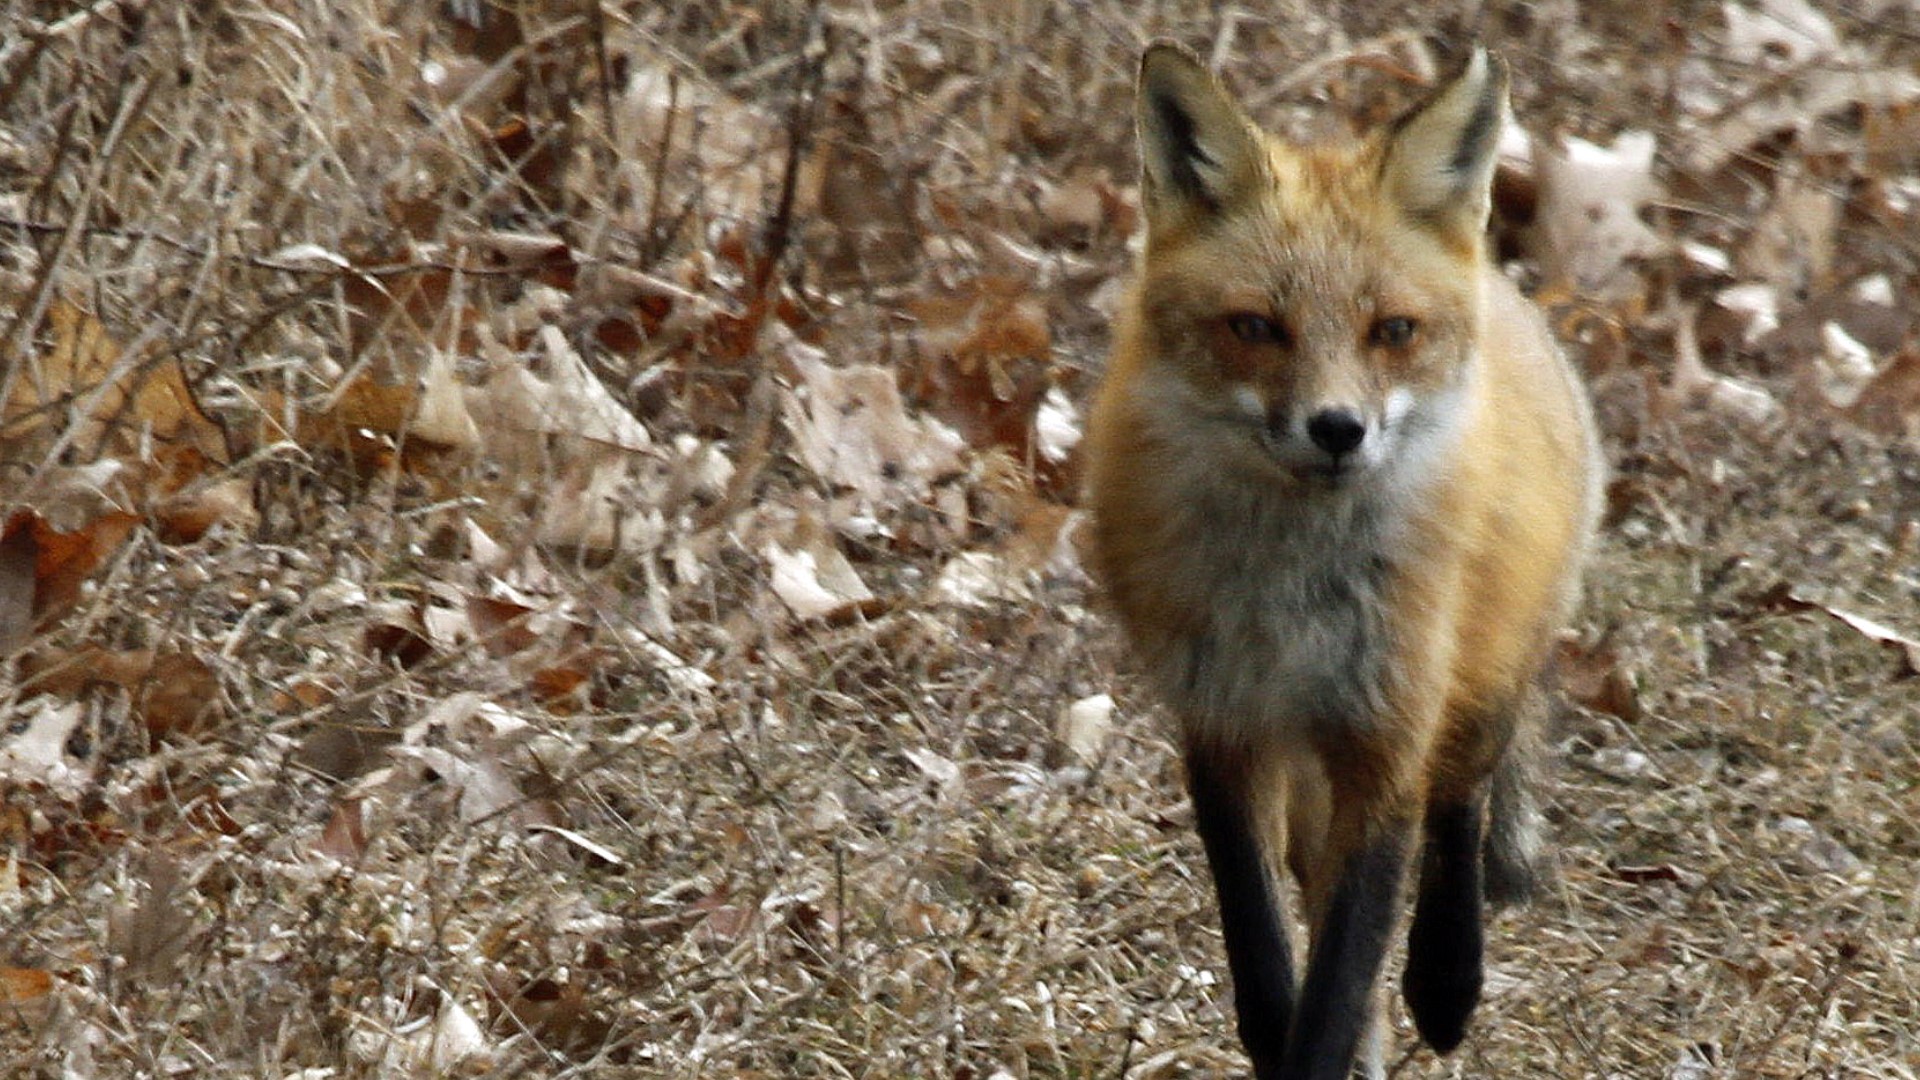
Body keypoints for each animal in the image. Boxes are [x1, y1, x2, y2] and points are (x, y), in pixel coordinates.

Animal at [1084, 43, 1603, 1080]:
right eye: (1255, 327)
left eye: (1391, 331)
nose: (1337, 430)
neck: (1292, 592)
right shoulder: (1222, 726)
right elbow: (1265, 953)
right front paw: (1281, 1030)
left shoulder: (1384, 745)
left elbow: (1342, 971)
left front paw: (1356, 1025)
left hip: (1482, 678)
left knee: (1462, 805)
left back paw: (1445, 982)